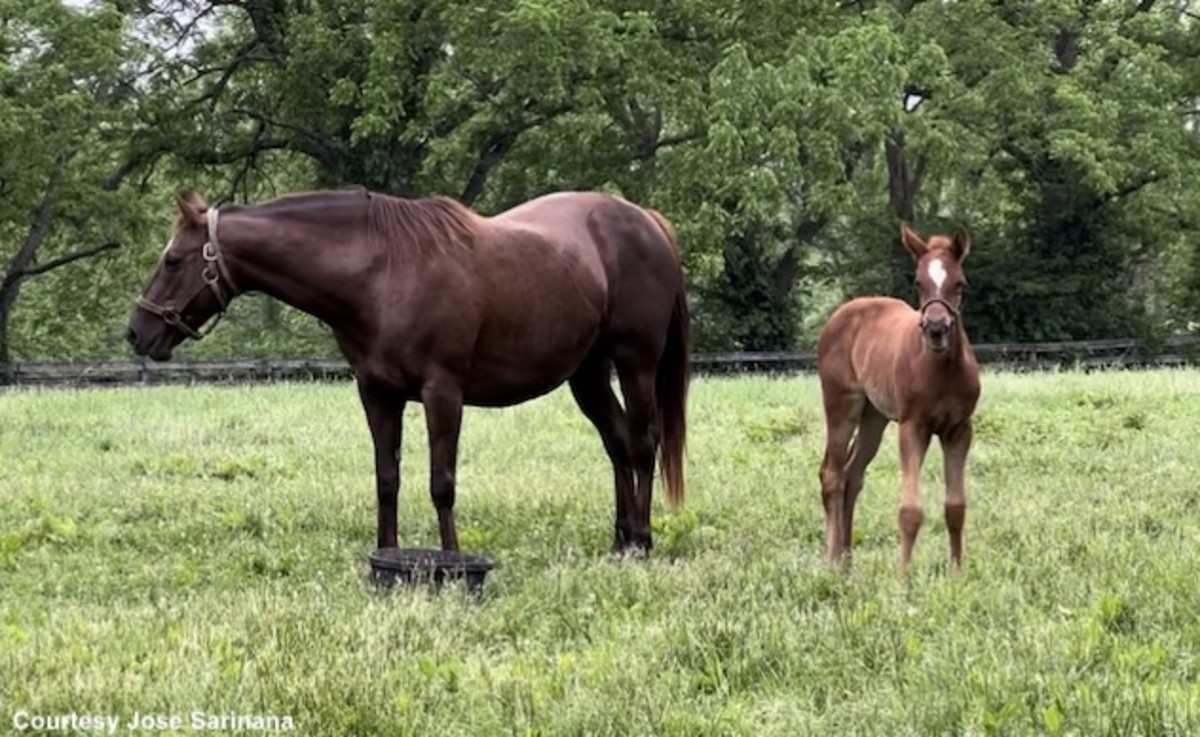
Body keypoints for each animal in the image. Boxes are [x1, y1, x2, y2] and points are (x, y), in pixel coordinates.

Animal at [126, 187, 691, 556]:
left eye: (172, 260)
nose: (137, 332)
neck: (382, 273)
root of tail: (645, 219)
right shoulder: (378, 394)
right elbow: (387, 479)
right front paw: (388, 557)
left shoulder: (443, 393)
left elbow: (442, 482)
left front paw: (452, 561)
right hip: (587, 374)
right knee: (618, 444)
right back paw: (620, 540)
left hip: (635, 364)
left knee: (643, 443)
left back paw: (642, 541)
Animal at [815, 223, 981, 570]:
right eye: (919, 282)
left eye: (960, 283)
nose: (936, 329)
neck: (943, 369)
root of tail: (841, 314)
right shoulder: (912, 427)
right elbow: (910, 510)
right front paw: (902, 577)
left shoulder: (959, 429)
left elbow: (956, 506)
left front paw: (957, 573)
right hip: (841, 406)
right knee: (832, 475)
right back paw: (833, 559)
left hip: (873, 417)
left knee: (853, 475)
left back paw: (848, 561)